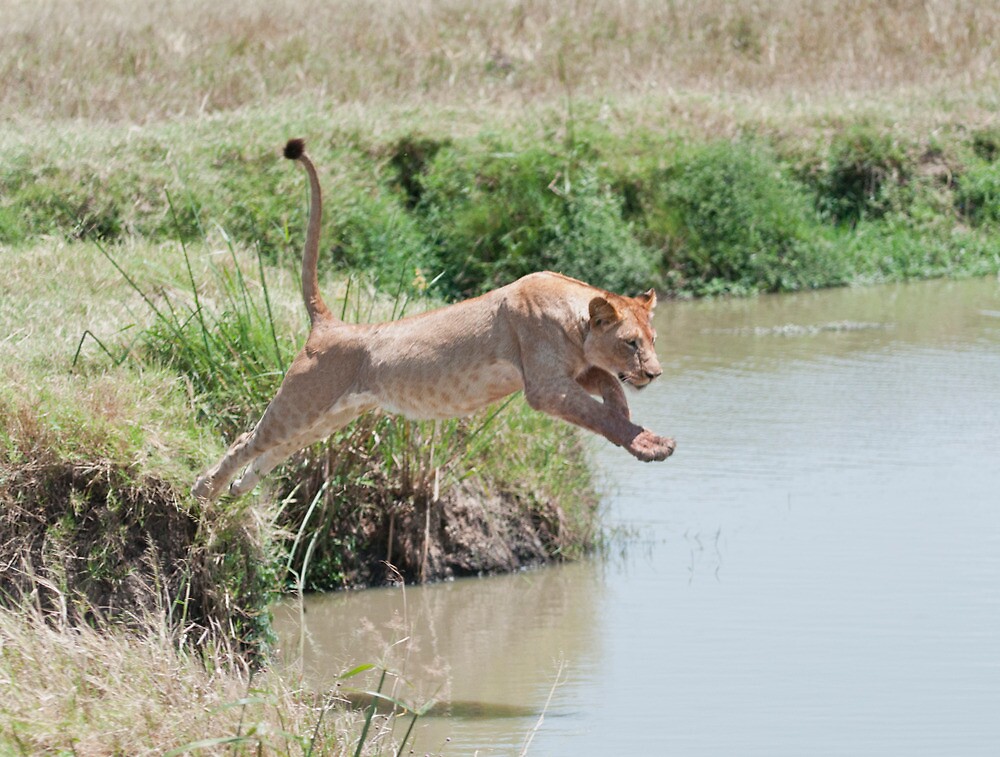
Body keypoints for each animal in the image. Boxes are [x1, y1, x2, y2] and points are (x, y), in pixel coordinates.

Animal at [192, 139, 675, 502]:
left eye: (652, 339)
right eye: (631, 342)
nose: (655, 373)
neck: (575, 320)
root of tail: (330, 324)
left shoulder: (575, 371)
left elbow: (611, 389)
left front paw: (631, 418)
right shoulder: (545, 387)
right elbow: (600, 415)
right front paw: (649, 443)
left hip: (330, 415)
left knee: (272, 452)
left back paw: (236, 490)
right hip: (302, 400)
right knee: (247, 440)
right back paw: (204, 489)